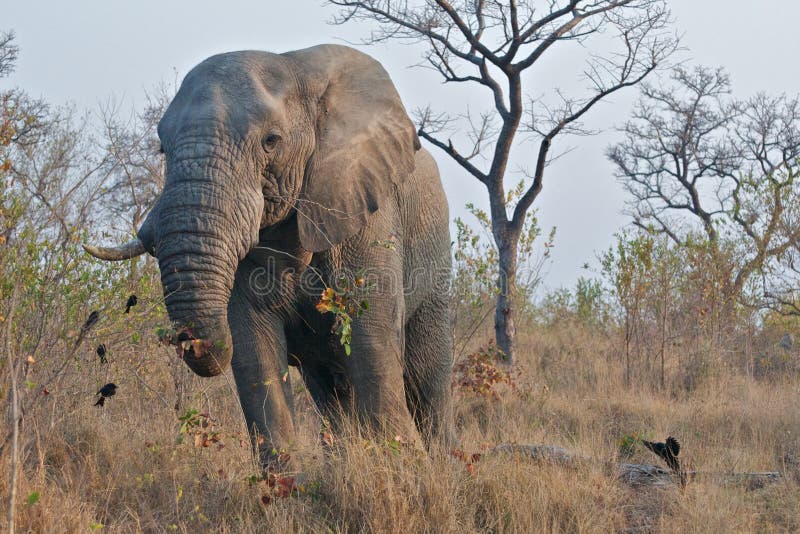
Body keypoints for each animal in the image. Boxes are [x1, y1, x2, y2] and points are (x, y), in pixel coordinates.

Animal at [84, 44, 454, 473]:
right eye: (163, 148)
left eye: (271, 141)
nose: (191, 344)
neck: (296, 68)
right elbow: (253, 348)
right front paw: (286, 484)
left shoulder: (366, 213)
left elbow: (371, 334)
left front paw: (405, 469)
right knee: (329, 387)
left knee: (426, 377)